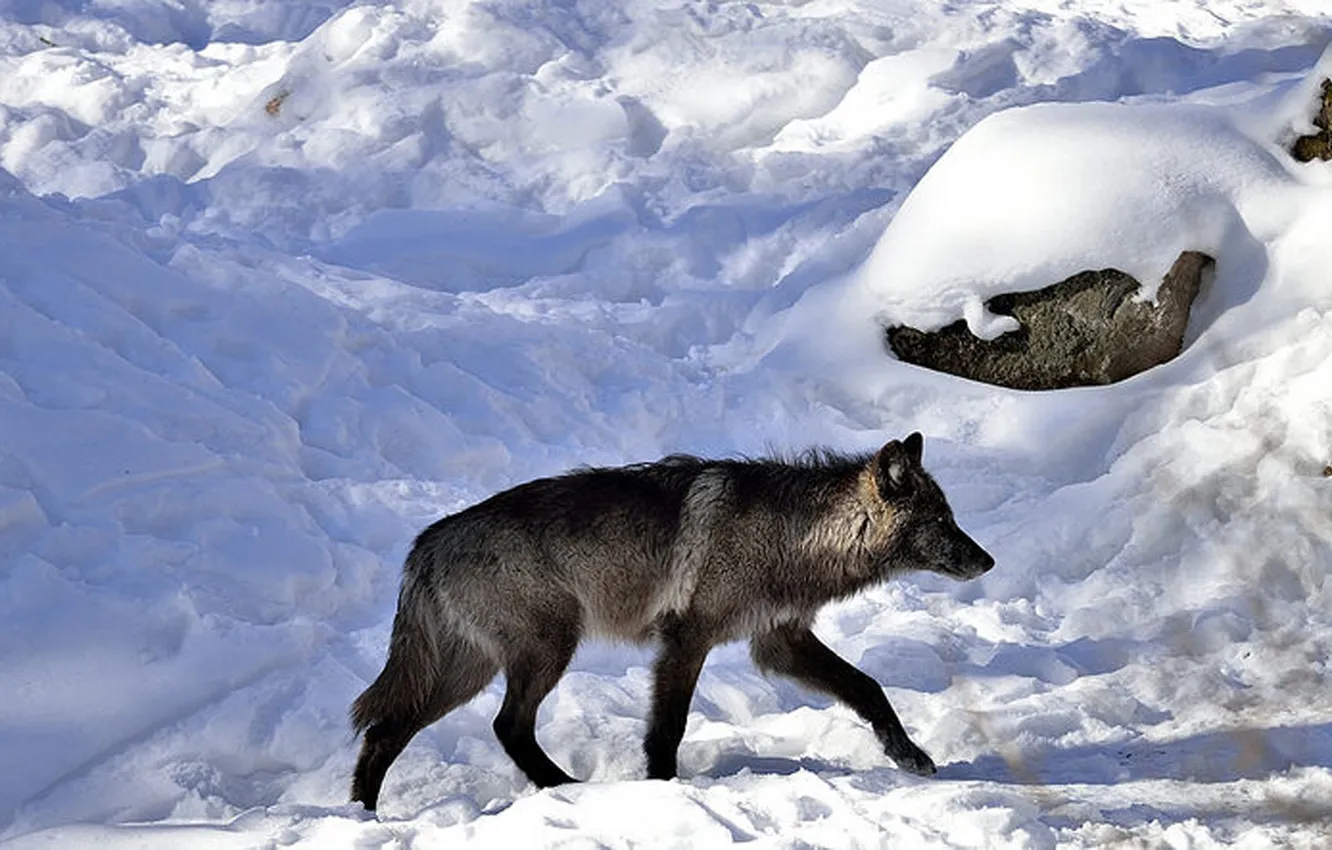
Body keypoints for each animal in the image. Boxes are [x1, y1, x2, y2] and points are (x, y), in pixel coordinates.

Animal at [350, 432, 994, 810]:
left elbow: (868, 687)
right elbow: (667, 728)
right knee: (504, 725)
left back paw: (364, 813)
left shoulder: (779, 642)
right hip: (545, 651)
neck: (795, 535)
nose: (987, 561)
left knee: (389, 731)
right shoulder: (688, 639)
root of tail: (428, 542)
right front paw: (664, 793)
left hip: (472, 672)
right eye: (942, 520)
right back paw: (564, 791)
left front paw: (908, 755)